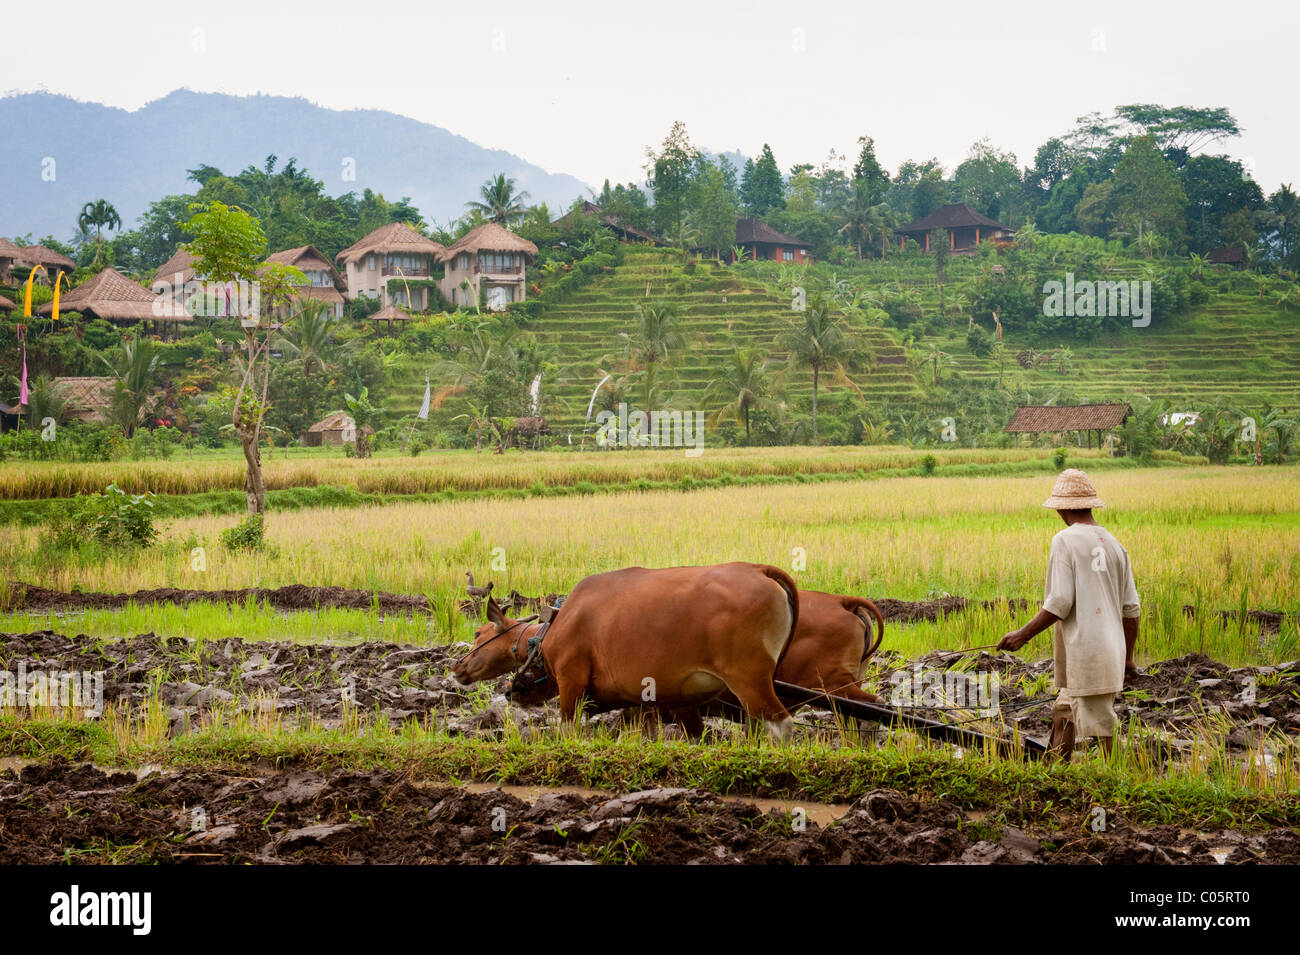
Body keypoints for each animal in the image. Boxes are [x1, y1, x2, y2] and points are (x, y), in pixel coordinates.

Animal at [451, 562, 800, 741]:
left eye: (478, 633)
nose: (456, 668)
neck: (557, 624)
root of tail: (759, 570)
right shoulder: (656, 701)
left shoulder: (571, 681)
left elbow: (569, 728)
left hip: (749, 679)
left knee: (780, 723)